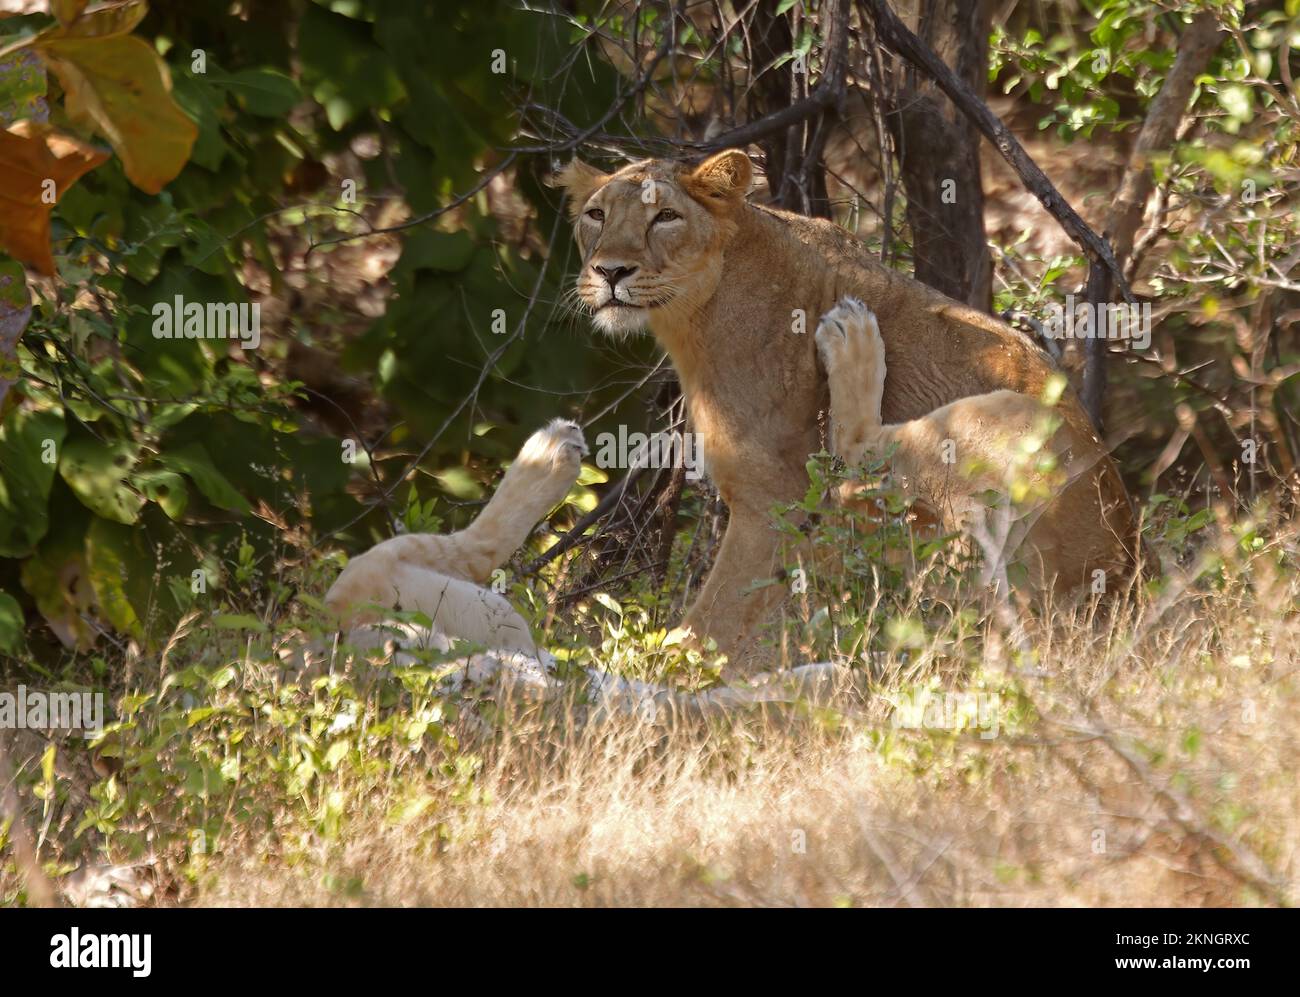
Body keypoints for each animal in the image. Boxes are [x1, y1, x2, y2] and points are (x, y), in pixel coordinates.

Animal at [558, 148, 1137, 671]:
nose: (610, 271)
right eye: (596, 215)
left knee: (858, 449)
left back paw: (852, 337)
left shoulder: (773, 500)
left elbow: (711, 622)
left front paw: (661, 673)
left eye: (666, 217)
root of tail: (1106, 593)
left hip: (1002, 423)